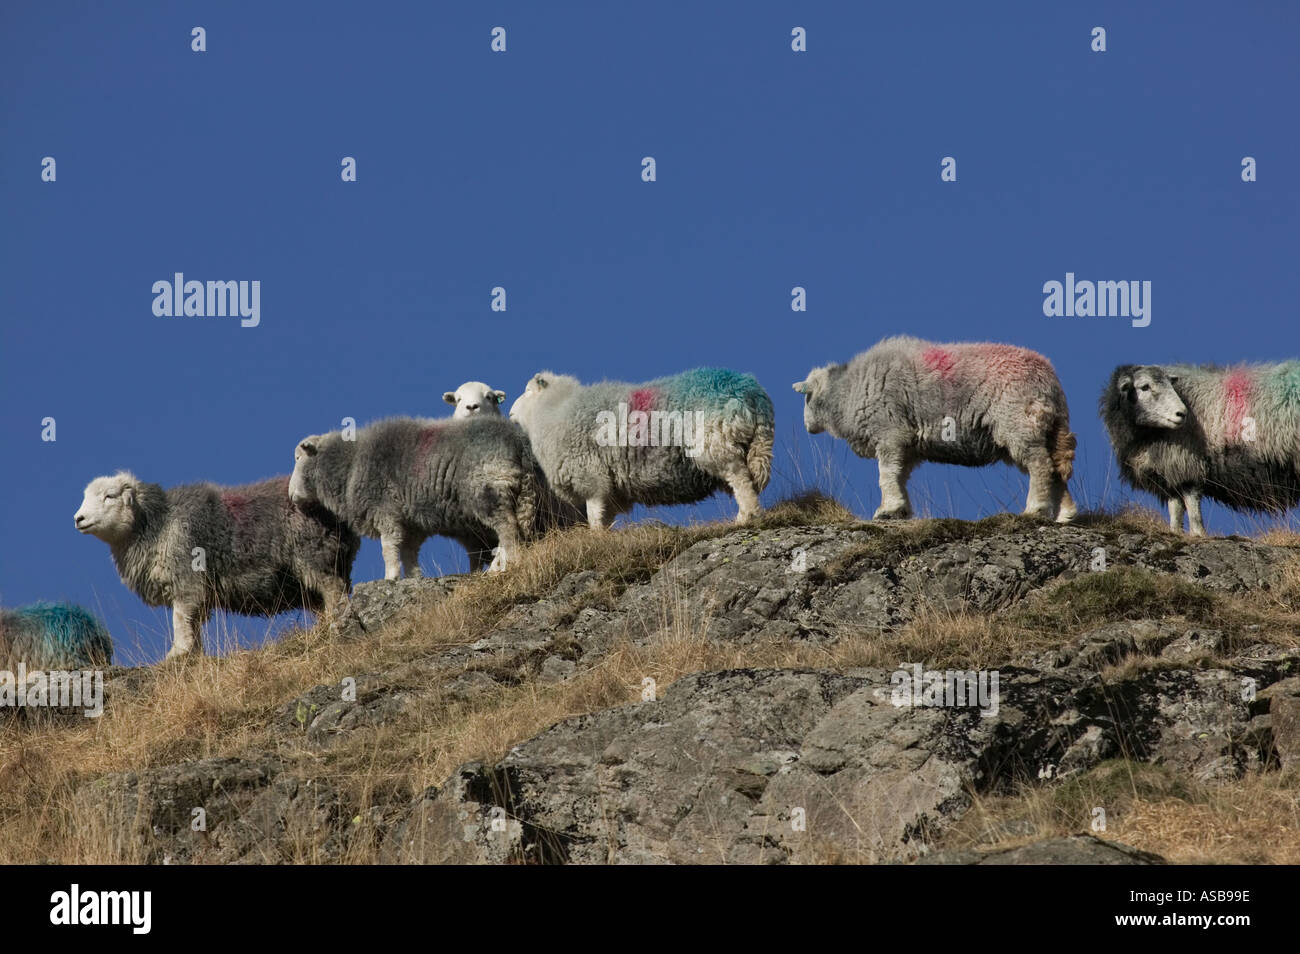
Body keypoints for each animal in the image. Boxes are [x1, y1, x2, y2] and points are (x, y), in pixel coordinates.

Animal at [74, 473, 360, 659]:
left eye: (110, 496)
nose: (79, 519)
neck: (159, 524)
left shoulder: (187, 582)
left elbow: (180, 619)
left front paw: (177, 652)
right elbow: (193, 623)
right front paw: (194, 653)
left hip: (316, 556)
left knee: (334, 592)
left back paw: (336, 626)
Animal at [289, 415, 548, 578]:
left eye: (298, 458)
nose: (291, 495)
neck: (349, 464)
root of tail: (518, 441)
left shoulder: (385, 512)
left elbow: (388, 548)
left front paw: (390, 578)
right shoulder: (411, 525)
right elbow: (408, 554)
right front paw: (412, 578)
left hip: (489, 488)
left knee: (507, 528)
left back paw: (507, 564)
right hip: (525, 493)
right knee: (516, 529)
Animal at [508, 367, 775, 527]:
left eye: (527, 391)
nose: (509, 413)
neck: (555, 408)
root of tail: (750, 390)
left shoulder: (590, 475)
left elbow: (593, 514)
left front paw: (594, 538)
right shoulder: (613, 491)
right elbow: (605, 517)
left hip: (715, 443)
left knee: (740, 479)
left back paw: (745, 518)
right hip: (753, 446)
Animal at [793, 335, 1078, 521]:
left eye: (806, 399)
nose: (806, 426)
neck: (846, 393)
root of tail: (1050, 379)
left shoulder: (889, 433)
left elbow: (886, 475)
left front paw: (888, 509)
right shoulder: (907, 445)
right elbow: (899, 476)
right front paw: (900, 509)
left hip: (1019, 423)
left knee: (1040, 465)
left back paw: (1035, 509)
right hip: (1047, 428)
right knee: (1056, 469)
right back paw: (1065, 515)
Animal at [1100, 362, 1300, 535]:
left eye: (1170, 385)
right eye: (1144, 387)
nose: (1181, 414)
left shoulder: (1187, 463)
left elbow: (1192, 505)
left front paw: (1198, 534)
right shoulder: (1170, 470)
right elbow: (1176, 508)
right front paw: (1176, 532)